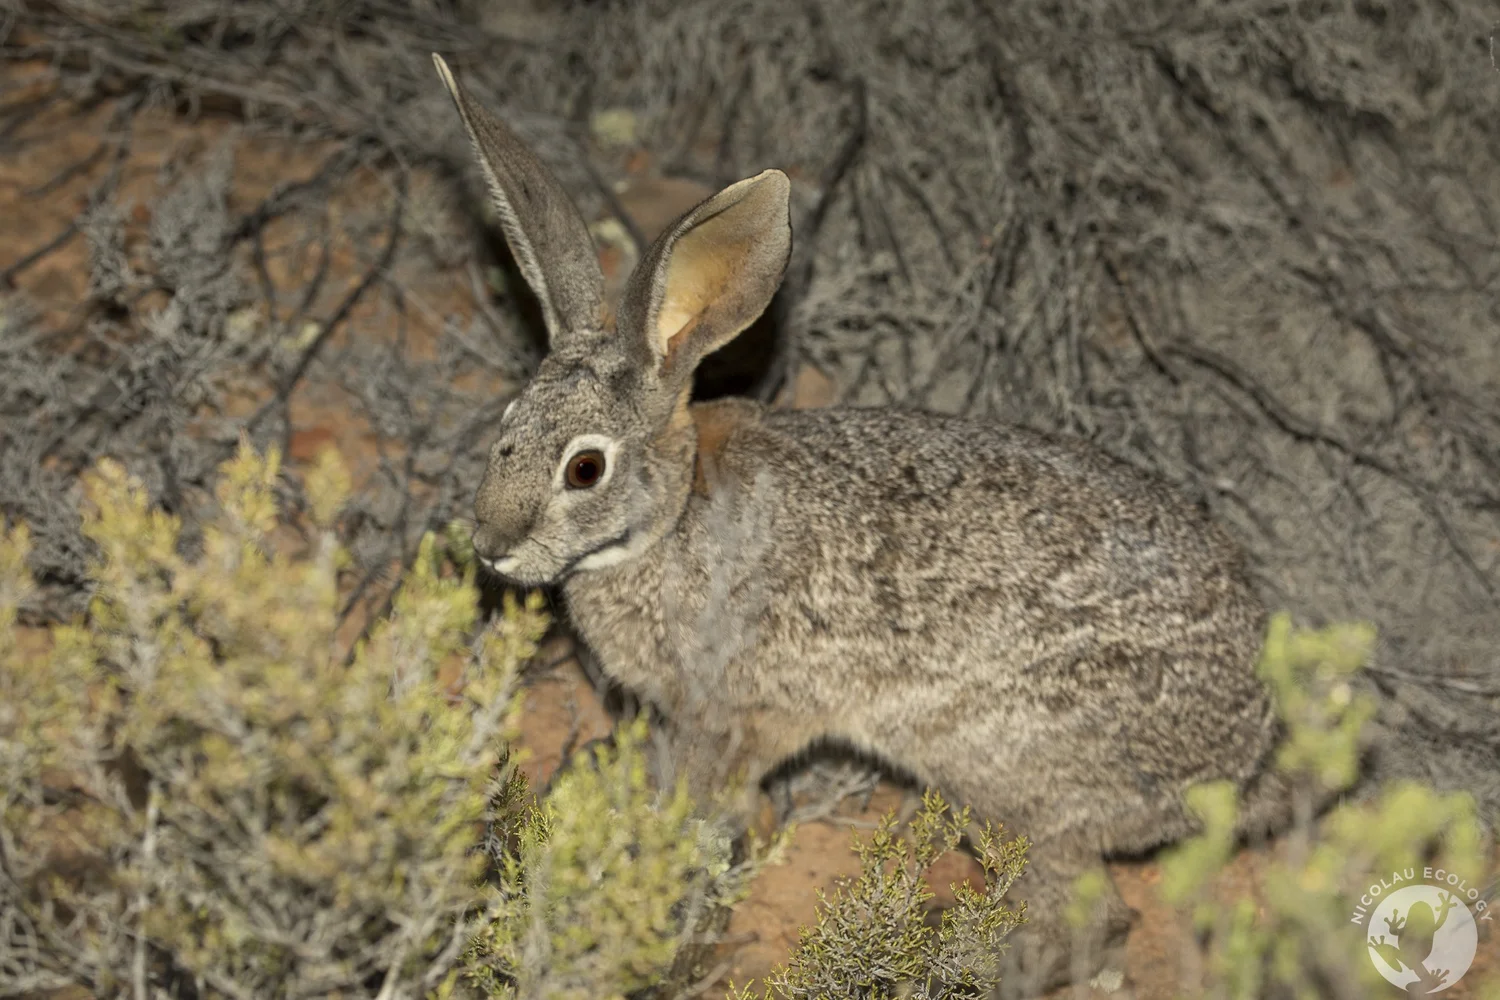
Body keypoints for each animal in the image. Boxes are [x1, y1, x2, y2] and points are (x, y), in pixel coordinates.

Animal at [433, 53, 1293, 996]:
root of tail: (1244, 756)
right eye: (507, 422)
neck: (670, 522)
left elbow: (707, 819)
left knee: (1090, 920)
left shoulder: (729, 714)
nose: (492, 546)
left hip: (997, 766)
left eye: (585, 469)